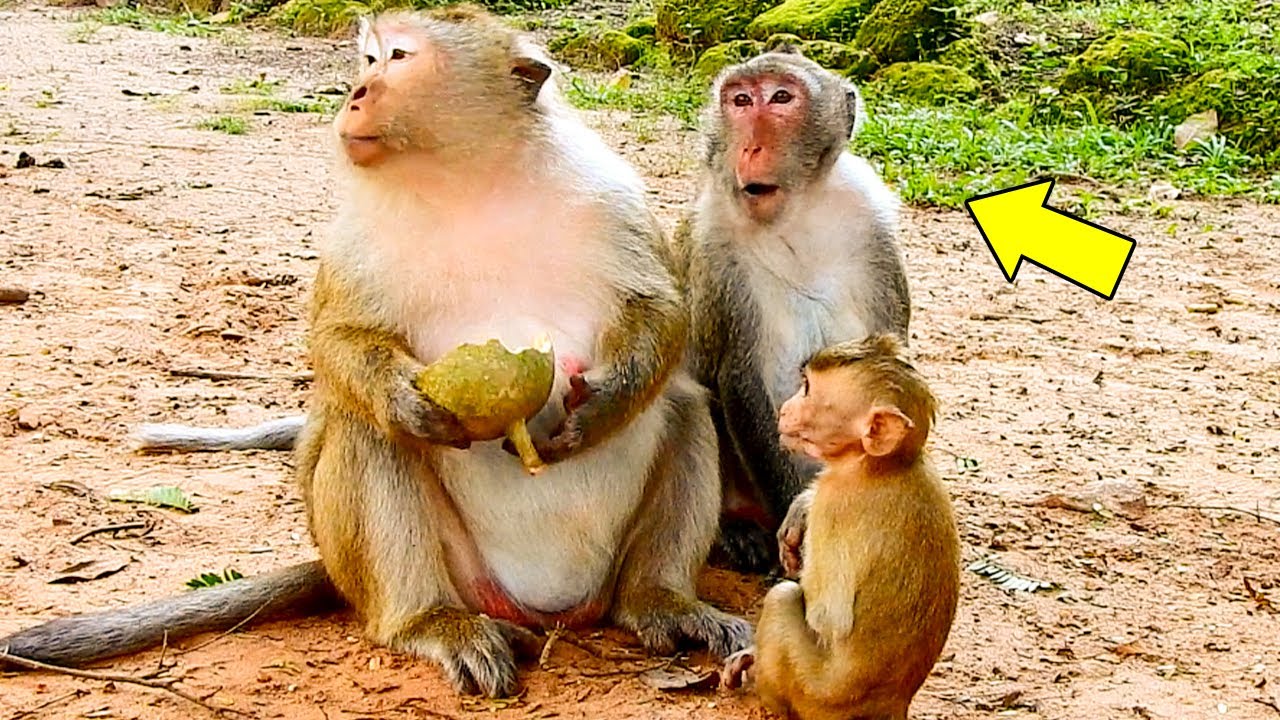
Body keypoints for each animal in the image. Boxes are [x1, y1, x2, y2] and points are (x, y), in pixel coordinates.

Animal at [2, 6, 752, 698]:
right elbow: (338, 342)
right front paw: (405, 400)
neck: (471, 179)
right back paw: (429, 620)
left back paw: (659, 600)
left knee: (684, 407)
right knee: (365, 429)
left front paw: (602, 407)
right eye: (367, 57)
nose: (355, 92)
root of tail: (553, 609)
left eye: (397, 57)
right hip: (441, 572)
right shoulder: (354, 230)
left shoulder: (607, 191)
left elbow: (660, 309)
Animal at [670, 48, 912, 573]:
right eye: (741, 101)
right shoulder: (716, 244)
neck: (795, 217)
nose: (750, 148)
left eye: (781, 98)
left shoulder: (871, 225)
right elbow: (739, 376)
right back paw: (736, 527)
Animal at [719, 333, 960, 720]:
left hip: (815, 695)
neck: (881, 465)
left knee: (783, 598)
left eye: (807, 389)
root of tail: (892, 704)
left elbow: (826, 617)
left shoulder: (834, 505)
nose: (785, 408)